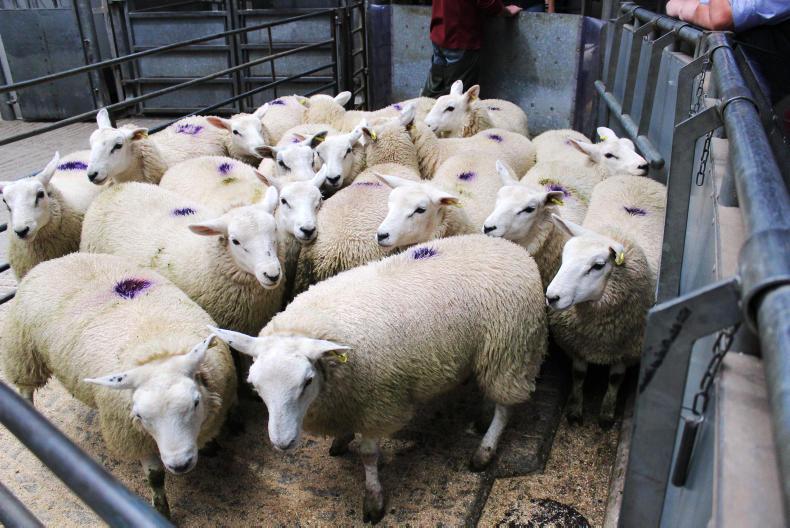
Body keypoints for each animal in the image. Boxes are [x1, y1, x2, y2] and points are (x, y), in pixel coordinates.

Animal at [1, 252, 236, 516]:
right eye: (140, 416)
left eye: (196, 403)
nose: (180, 465)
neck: (156, 347)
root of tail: (57, 260)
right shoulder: (134, 436)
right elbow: (155, 477)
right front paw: (160, 509)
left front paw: (208, 446)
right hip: (24, 350)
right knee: (25, 388)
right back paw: (28, 411)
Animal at [209, 233, 548, 523]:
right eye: (255, 386)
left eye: (307, 381)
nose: (282, 443)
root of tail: (513, 249)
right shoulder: (350, 398)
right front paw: (342, 438)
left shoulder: (377, 403)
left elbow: (369, 456)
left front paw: (373, 500)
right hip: (491, 352)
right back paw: (481, 417)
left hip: (512, 349)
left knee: (505, 407)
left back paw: (484, 451)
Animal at [544, 175, 666, 426]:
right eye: (564, 256)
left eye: (598, 265)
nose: (551, 297)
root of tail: (637, 178)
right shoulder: (577, 345)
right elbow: (579, 375)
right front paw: (575, 410)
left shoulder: (627, 350)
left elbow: (616, 378)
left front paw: (607, 415)